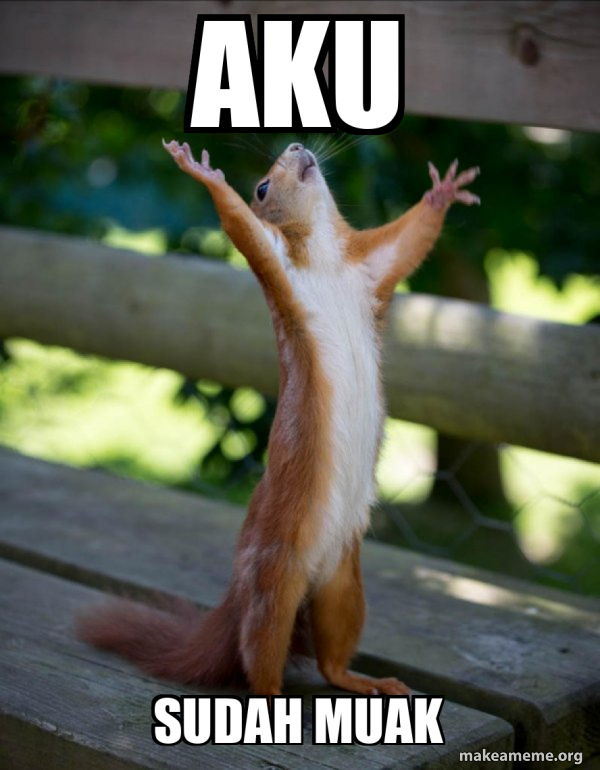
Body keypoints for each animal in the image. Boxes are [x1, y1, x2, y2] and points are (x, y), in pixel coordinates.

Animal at [78, 139, 480, 697]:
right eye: (263, 187)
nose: (295, 145)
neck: (327, 258)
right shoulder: (277, 264)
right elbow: (240, 226)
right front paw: (204, 173)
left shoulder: (372, 267)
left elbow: (410, 239)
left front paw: (442, 193)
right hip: (273, 583)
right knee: (259, 658)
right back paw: (274, 696)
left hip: (344, 586)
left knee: (331, 656)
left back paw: (365, 680)